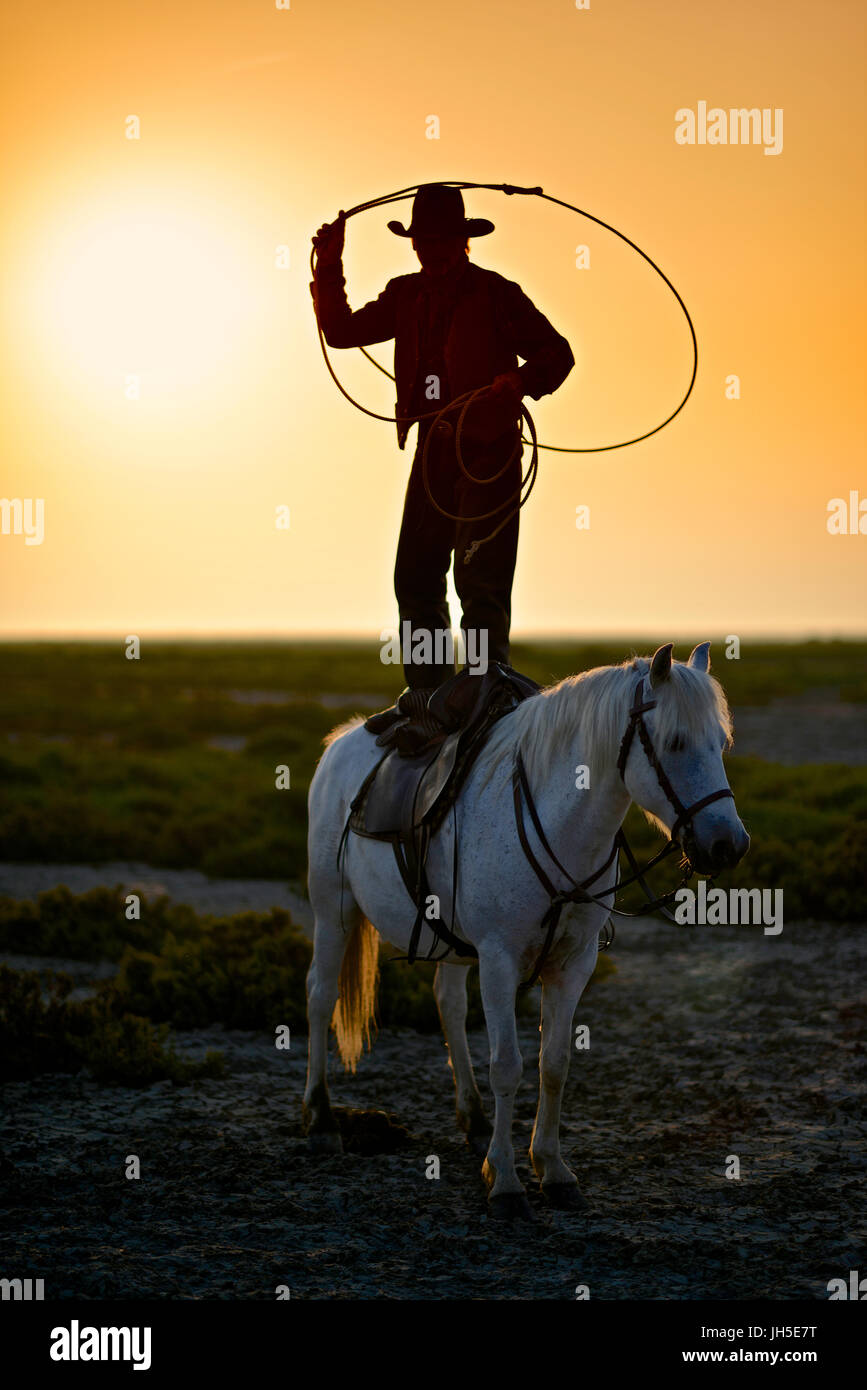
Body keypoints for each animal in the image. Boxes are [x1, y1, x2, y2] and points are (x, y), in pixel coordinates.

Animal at [301, 639, 750, 1217]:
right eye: (674, 742)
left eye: (721, 743)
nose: (728, 844)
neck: (559, 827)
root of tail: (343, 740)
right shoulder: (499, 960)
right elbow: (508, 1066)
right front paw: (507, 1182)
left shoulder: (574, 964)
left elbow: (553, 1064)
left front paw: (552, 1170)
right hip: (332, 908)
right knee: (320, 995)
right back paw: (321, 1120)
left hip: (445, 941)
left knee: (448, 1003)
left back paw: (473, 1120)